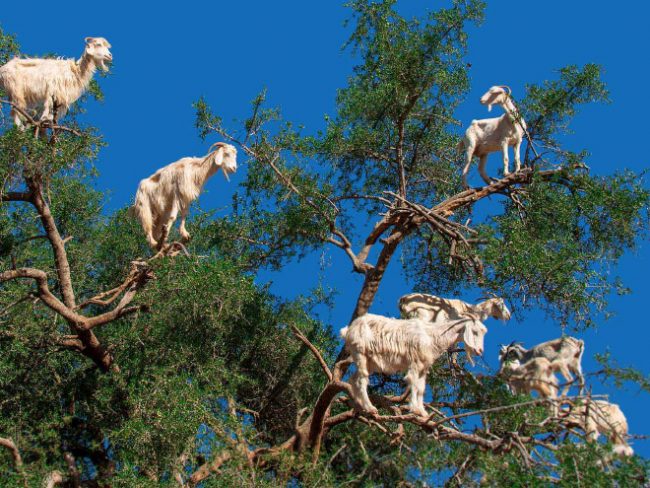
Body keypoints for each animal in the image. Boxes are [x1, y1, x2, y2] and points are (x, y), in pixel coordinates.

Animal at [340, 314, 488, 416]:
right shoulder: (415, 362)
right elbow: (413, 382)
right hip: (360, 353)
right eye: (474, 331)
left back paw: (360, 405)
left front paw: (422, 412)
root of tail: (348, 330)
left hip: (370, 362)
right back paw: (370, 408)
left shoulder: (423, 366)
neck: (433, 335)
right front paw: (415, 409)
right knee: (361, 380)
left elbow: (421, 387)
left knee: (353, 379)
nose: (480, 351)